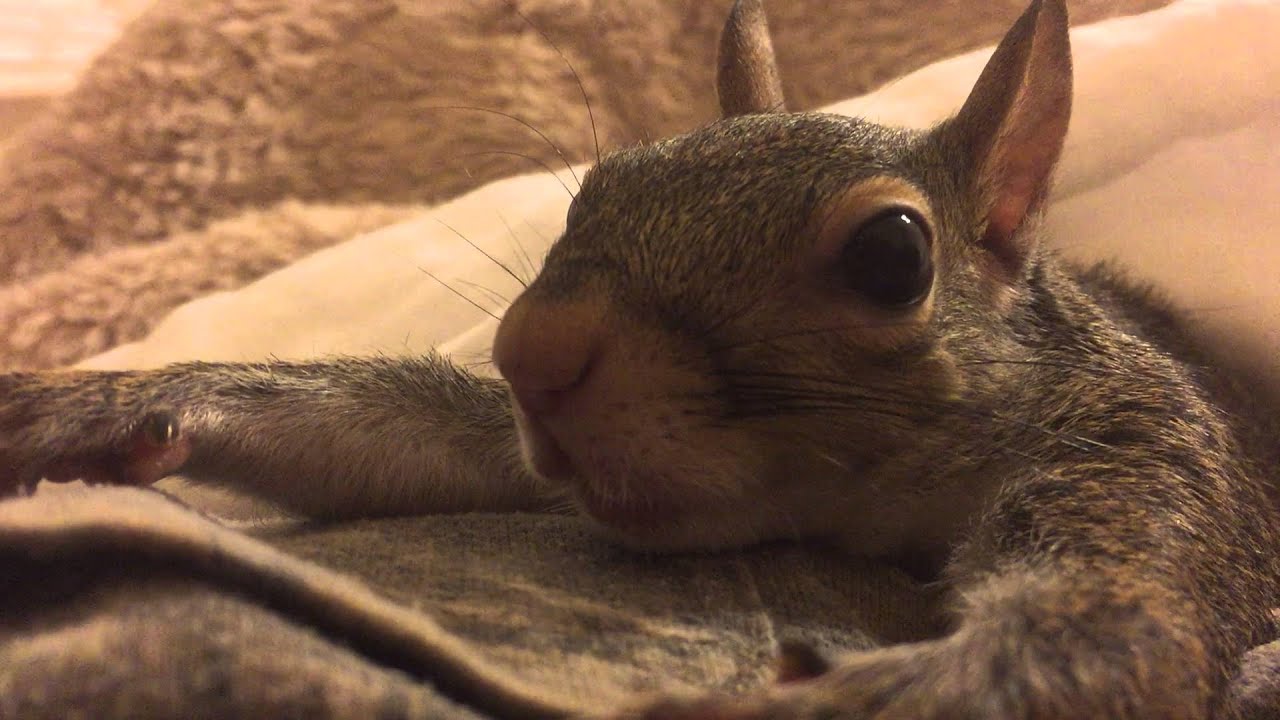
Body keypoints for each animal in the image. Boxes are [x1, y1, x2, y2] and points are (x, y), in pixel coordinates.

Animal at [1, 0, 1278, 717]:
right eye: (604, 184)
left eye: (890, 255)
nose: (531, 352)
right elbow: (393, 432)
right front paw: (99, 401)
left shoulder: (1142, 451)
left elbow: (1103, 631)